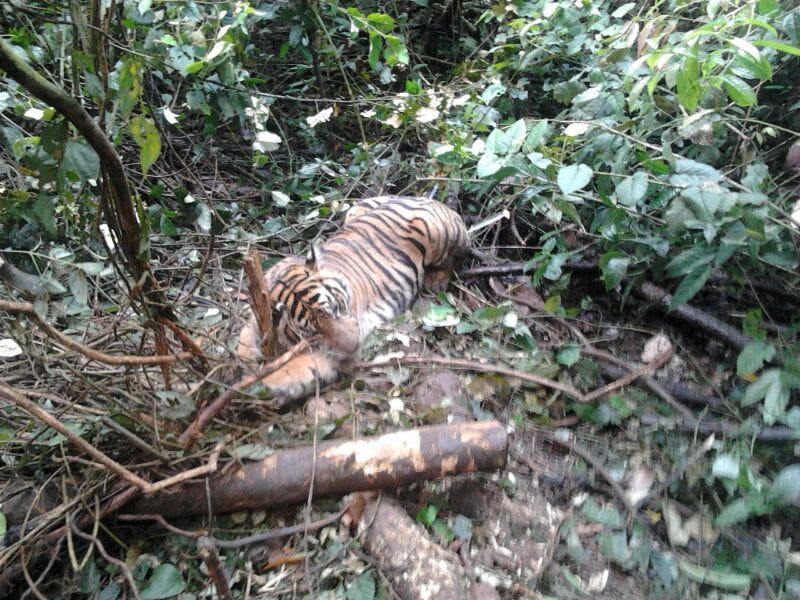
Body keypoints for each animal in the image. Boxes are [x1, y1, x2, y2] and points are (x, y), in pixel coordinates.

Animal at [237, 195, 470, 404]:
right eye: (313, 331)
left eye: (336, 307)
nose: (355, 345)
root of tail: (424, 198)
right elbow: (243, 337)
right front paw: (247, 362)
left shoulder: (331, 351)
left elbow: (296, 366)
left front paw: (258, 383)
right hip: (355, 209)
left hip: (437, 231)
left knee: (457, 256)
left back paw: (436, 280)